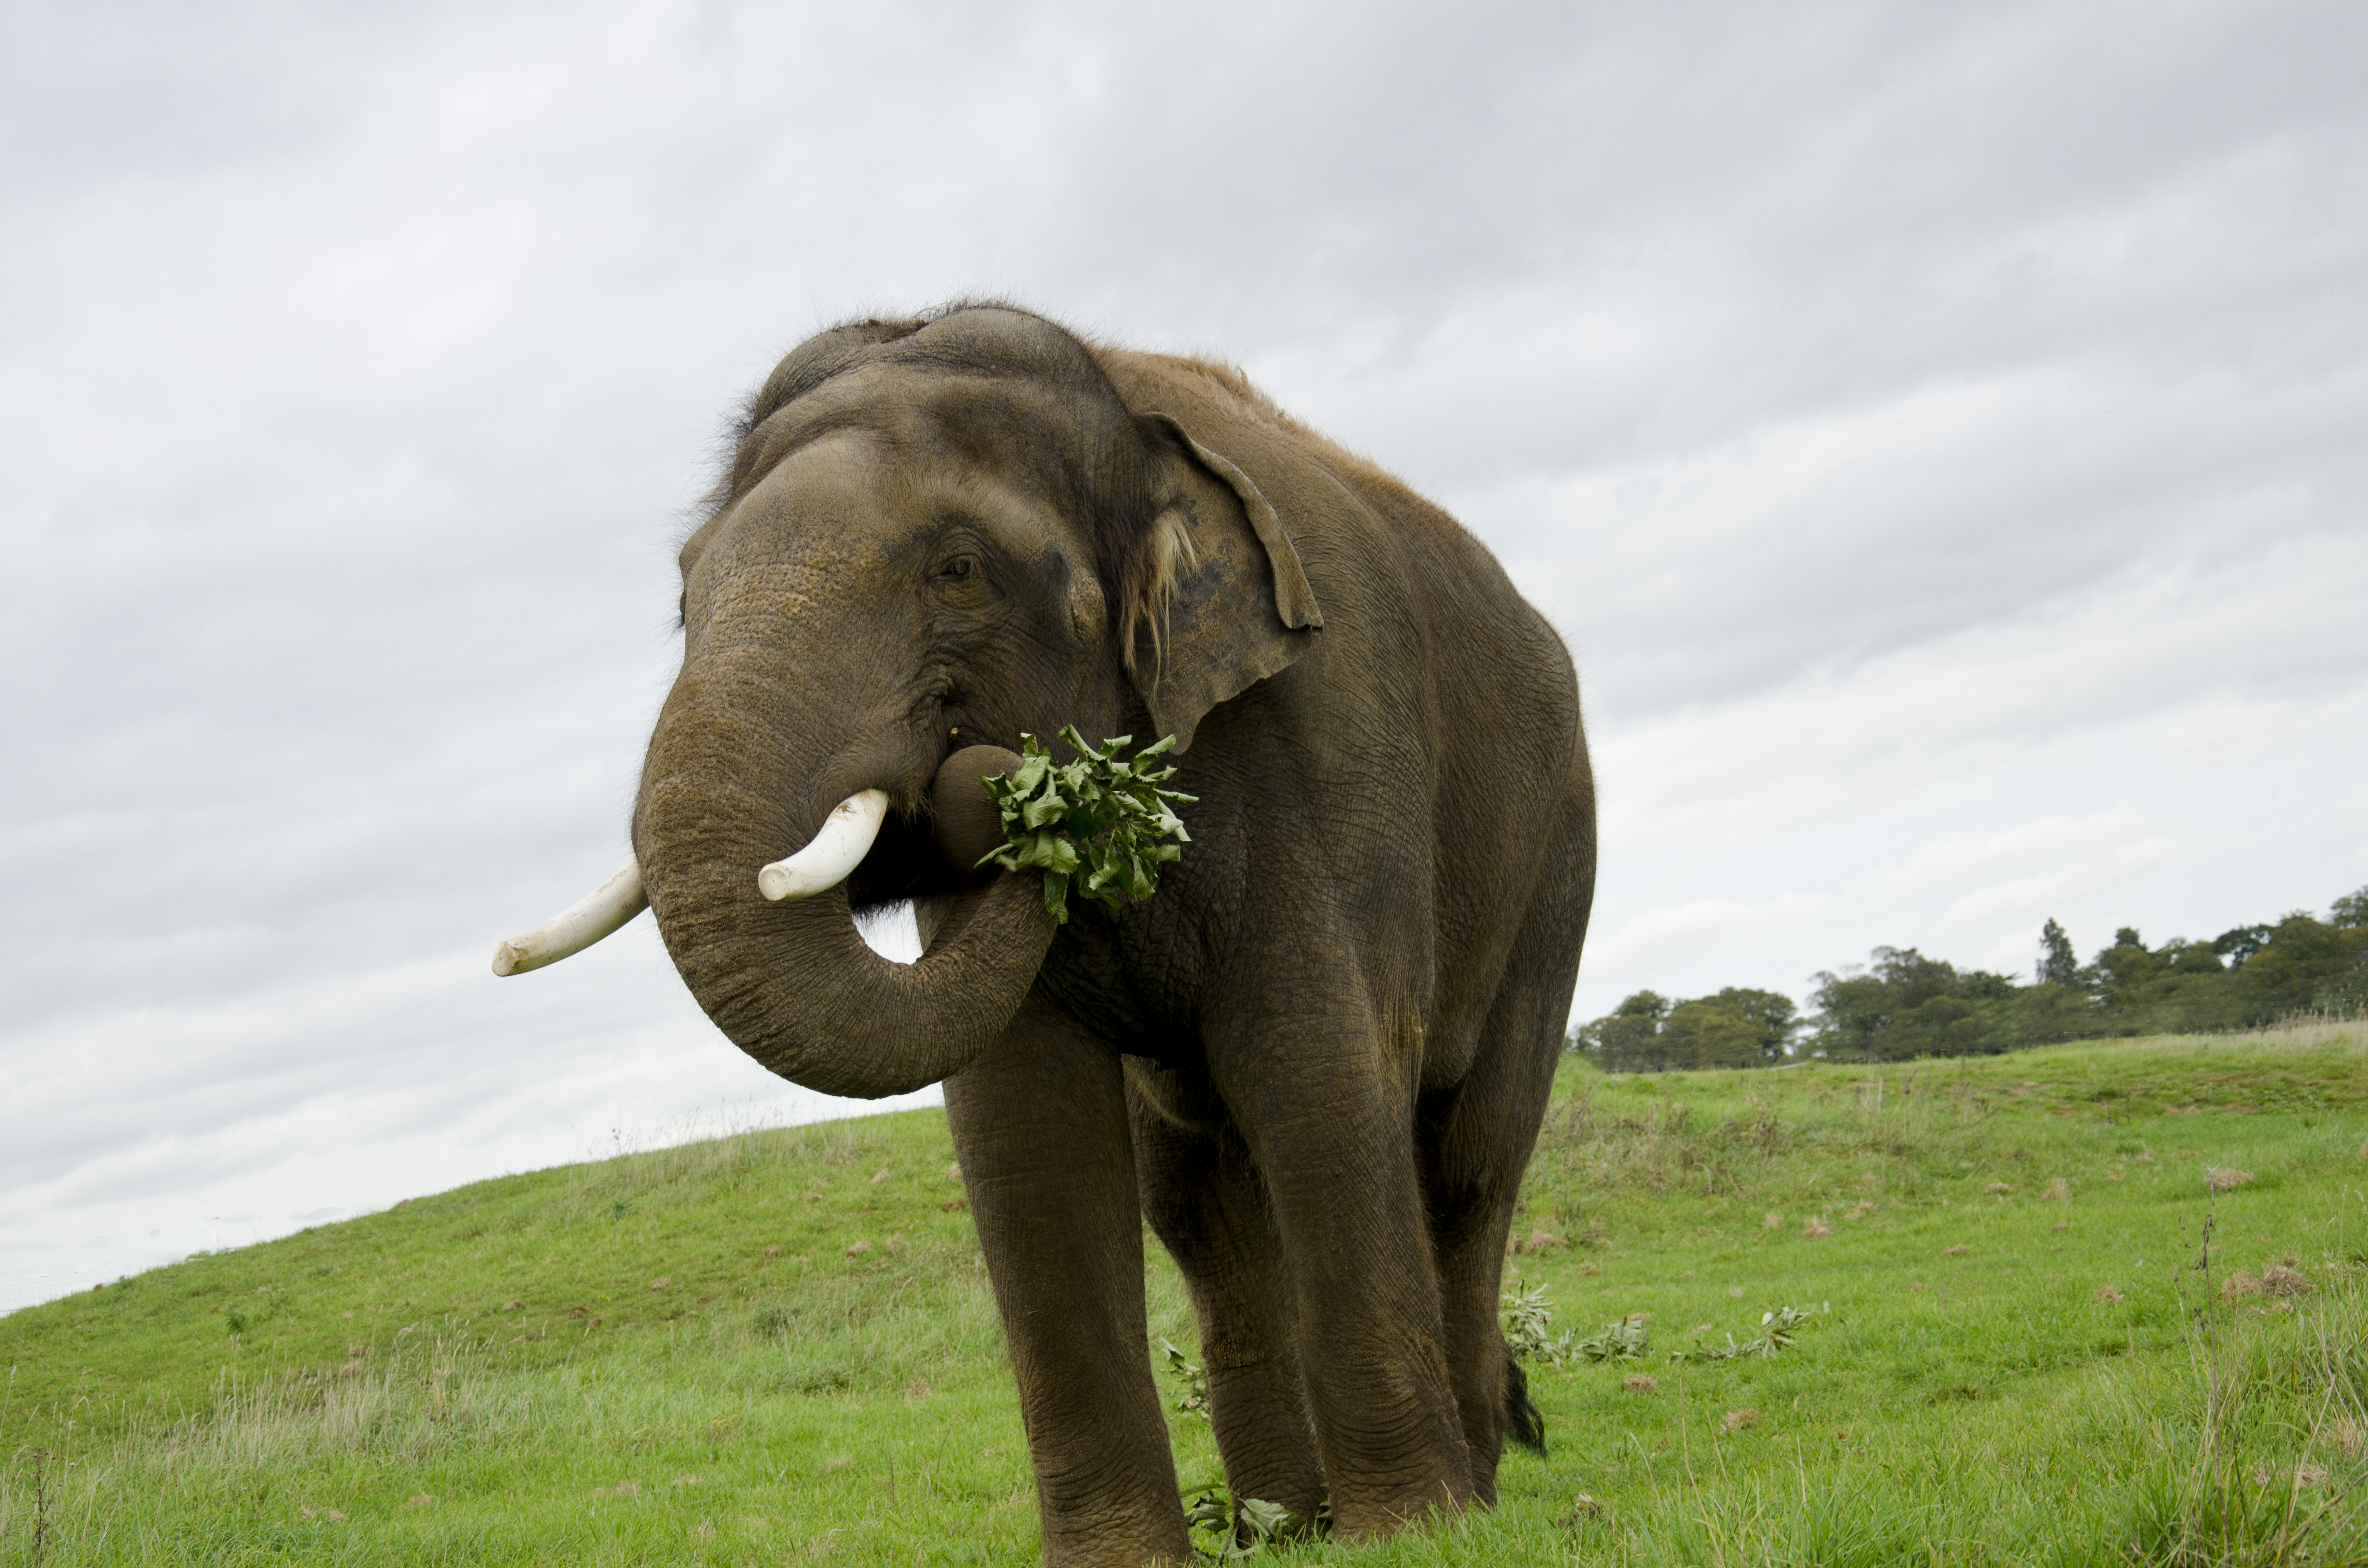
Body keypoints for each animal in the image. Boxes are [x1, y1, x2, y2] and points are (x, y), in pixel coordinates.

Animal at [494, 303, 1596, 1565]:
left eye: (958, 569)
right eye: (684, 602)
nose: (993, 785)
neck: (1123, 412)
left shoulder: (1332, 745)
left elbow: (1316, 1072)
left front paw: (1413, 1536)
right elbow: (1027, 1130)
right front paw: (1136, 1559)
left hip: (1556, 863)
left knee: (1466, 1163)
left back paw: (1465, 1490)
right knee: (1201, 1196)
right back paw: (1280, 1528)